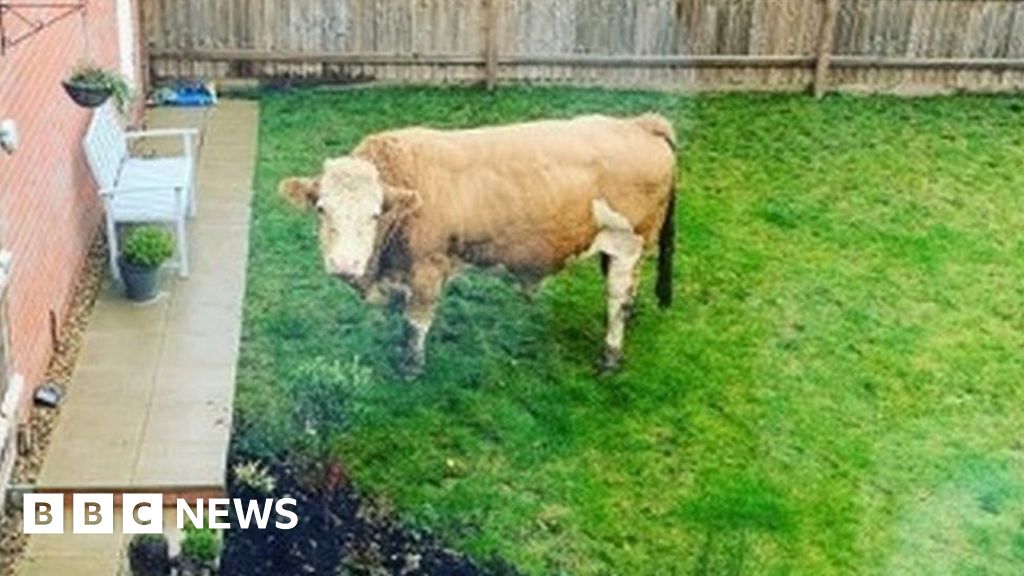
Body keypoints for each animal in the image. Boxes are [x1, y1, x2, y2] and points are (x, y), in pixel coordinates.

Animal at [280, 113, 678, 377]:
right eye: (321, 209)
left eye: (375, 213)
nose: (344, 264)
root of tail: (638, 123)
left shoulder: (428, 268)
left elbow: (415, 323)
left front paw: (411, 368)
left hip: (630, 243)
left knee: (618, 300)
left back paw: (610, 355)